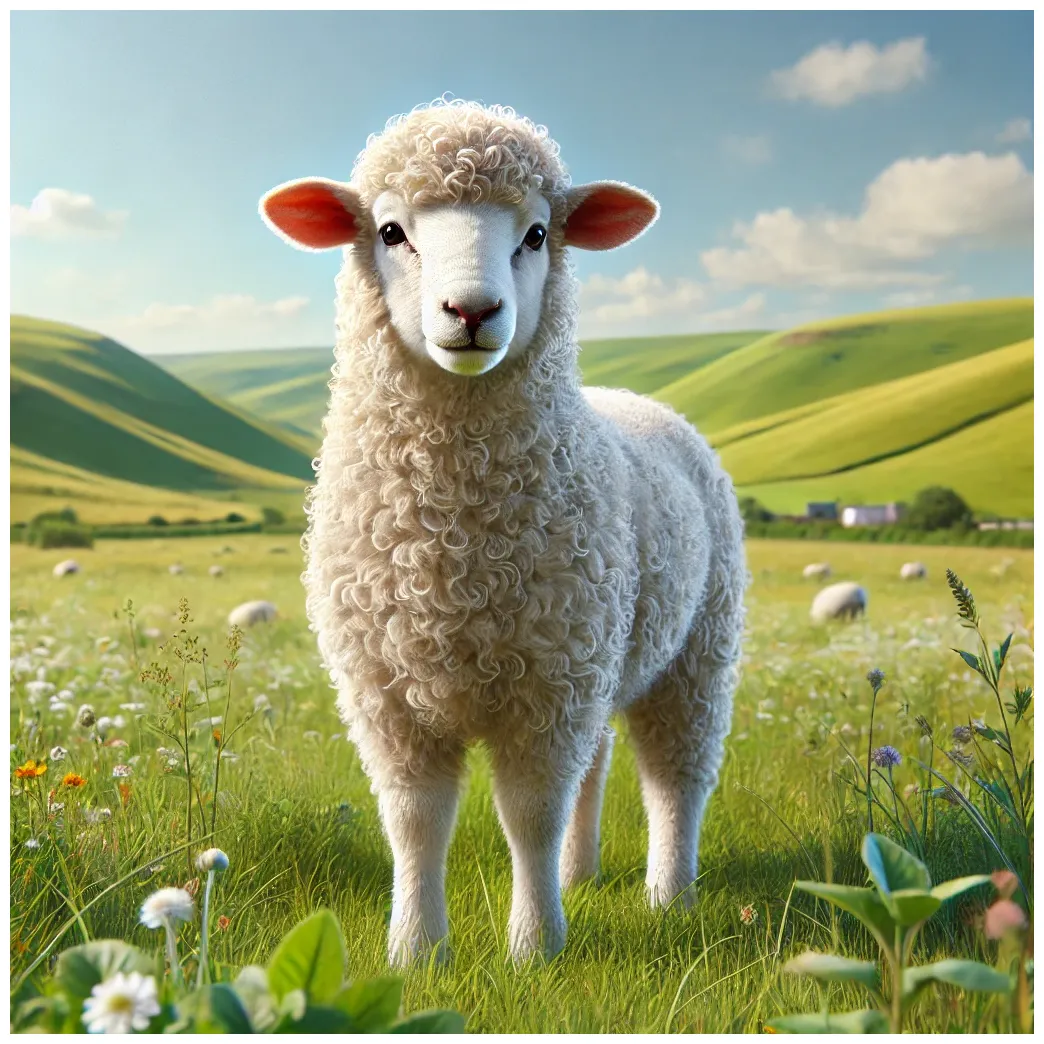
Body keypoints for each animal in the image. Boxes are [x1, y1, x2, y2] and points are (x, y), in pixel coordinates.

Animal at [259, 98, 746, 966]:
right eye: (390, 231)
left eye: (538, 234)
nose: (473, 312)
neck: (455, 546)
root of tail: (639, 401)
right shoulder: (388, 697)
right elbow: (415, 822)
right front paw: (416, 950)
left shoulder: (545, 689)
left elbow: (529, 816)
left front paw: (534, 947)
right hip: (602, 659)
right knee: (600, 765)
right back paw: (583, 876)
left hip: (695, 651)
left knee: (675, 778)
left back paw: (668, 895)